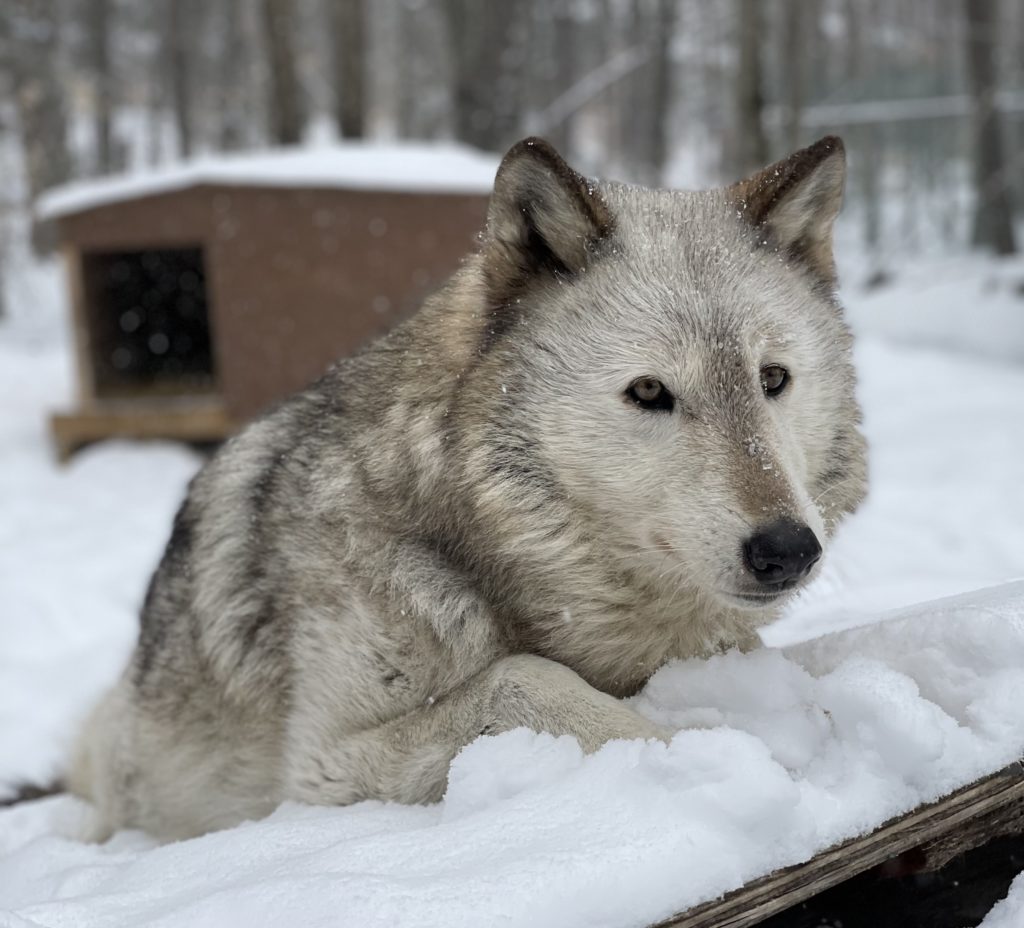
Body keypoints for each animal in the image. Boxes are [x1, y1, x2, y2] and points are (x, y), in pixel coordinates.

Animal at [67, 135, 866, 841]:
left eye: (772, 380)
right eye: (648, 391)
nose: (788, 550)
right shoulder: (324, 768)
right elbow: (524, 678)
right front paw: (741, 769)